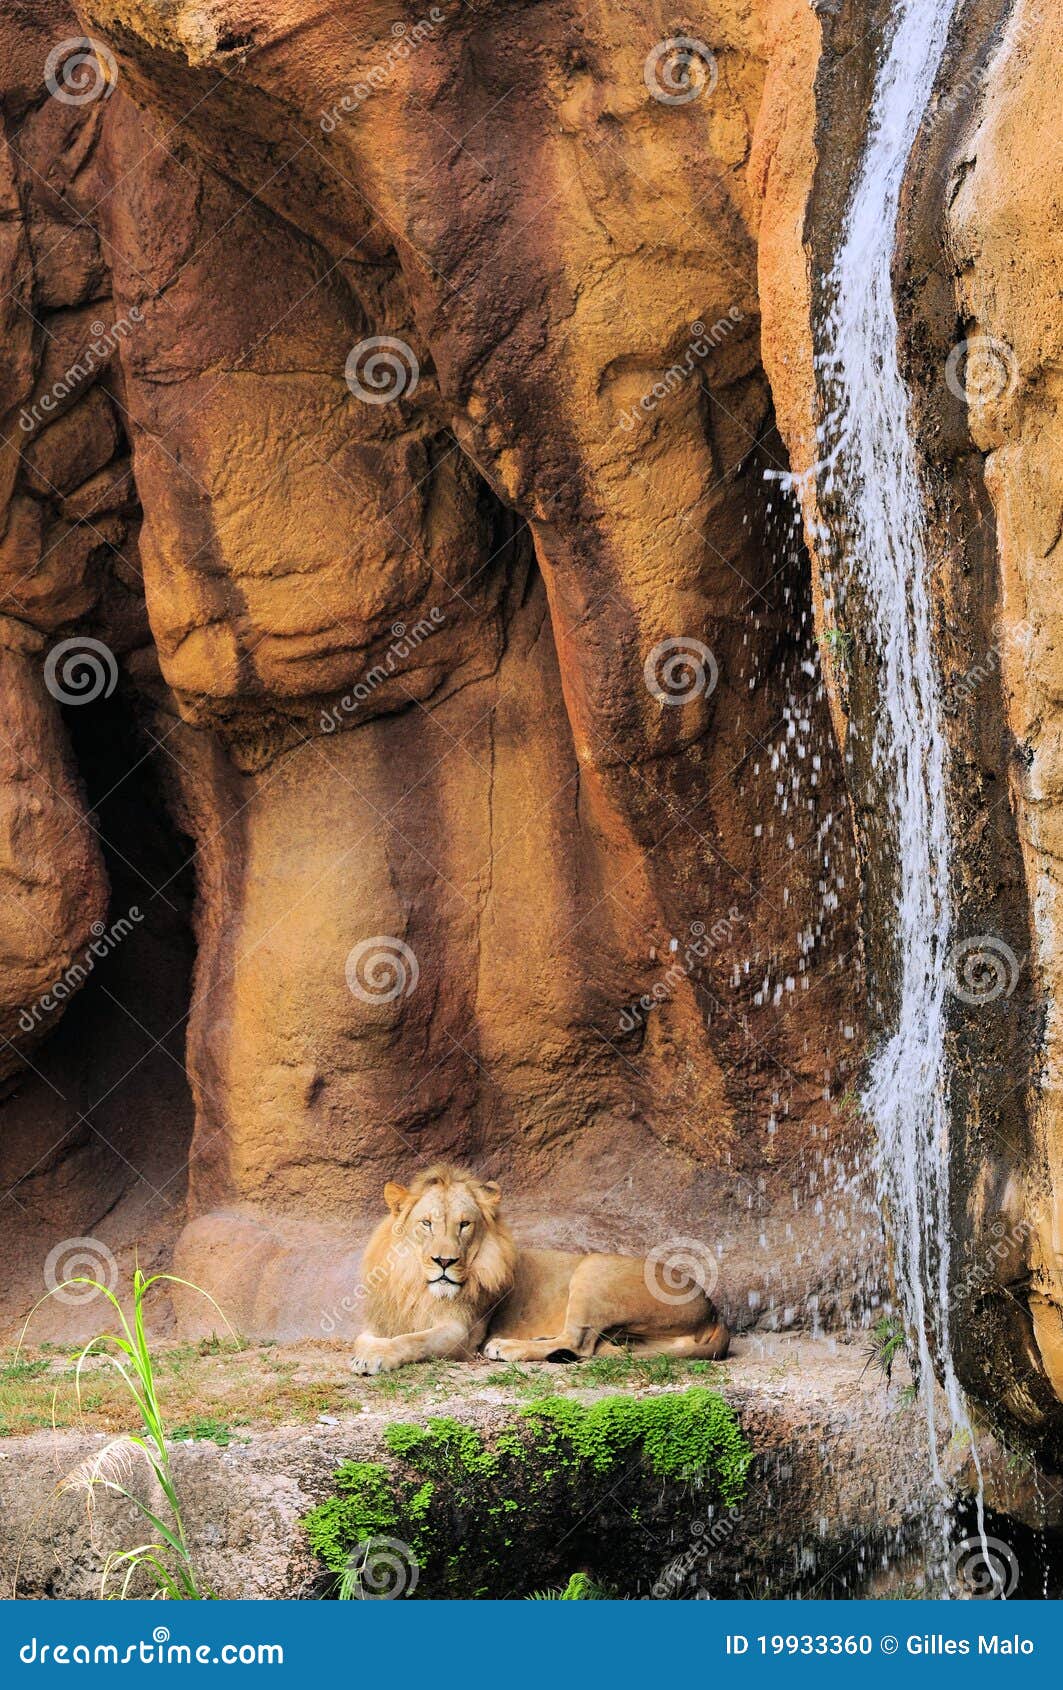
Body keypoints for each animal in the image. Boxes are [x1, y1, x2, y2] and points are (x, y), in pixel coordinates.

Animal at [350, 1163, 730, 1375]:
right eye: (426, 1224)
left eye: (464, 1225)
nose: (445, 1262)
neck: (414, 1283)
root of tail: (713, 1309)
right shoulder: (380, 1322)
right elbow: (364, 1338)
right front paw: (368, 1351)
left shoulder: (462, 1334)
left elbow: (414, 1340)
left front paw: (377, 1358)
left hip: (594, 1269)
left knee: (579, 1343)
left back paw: (507, 1347)